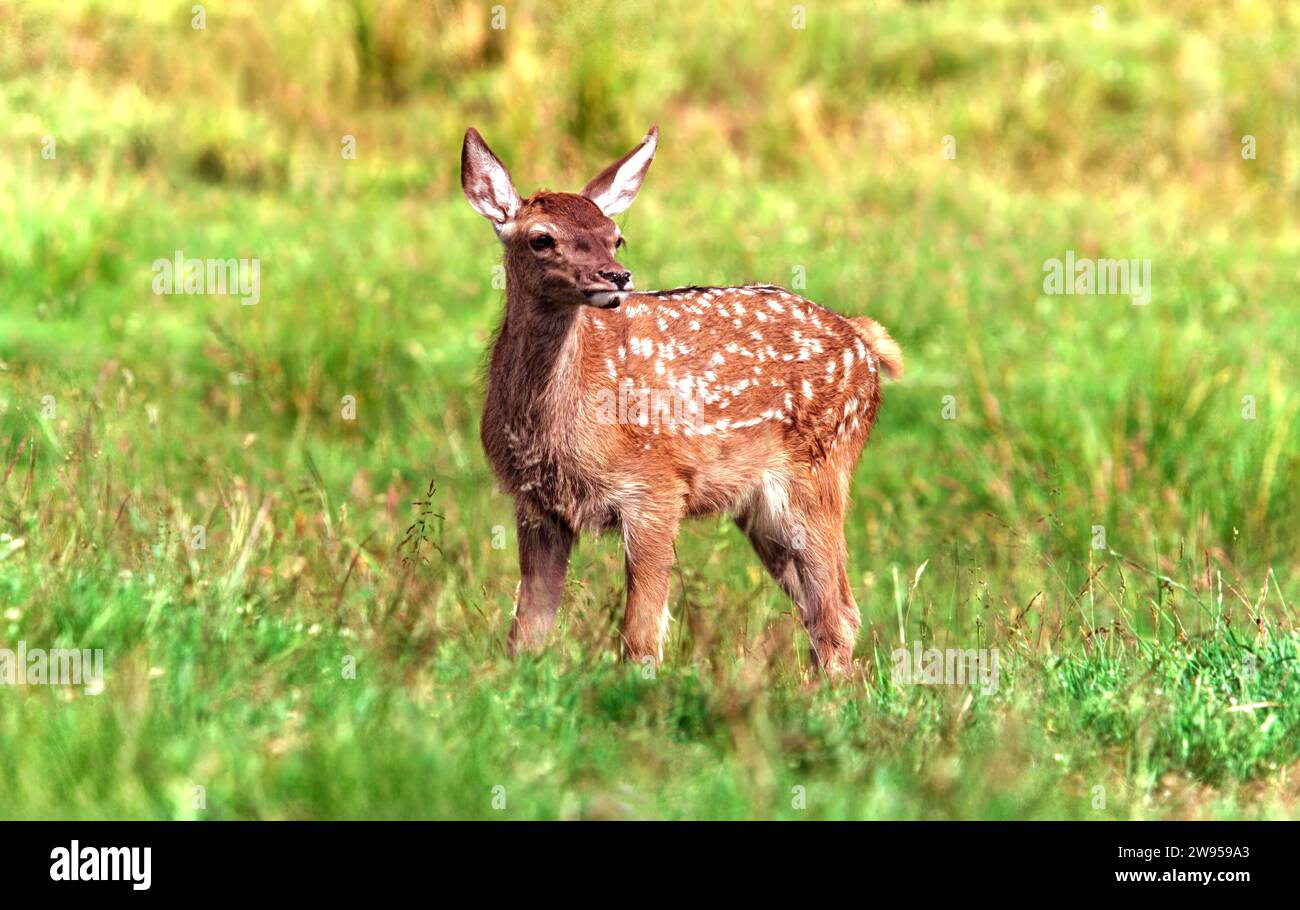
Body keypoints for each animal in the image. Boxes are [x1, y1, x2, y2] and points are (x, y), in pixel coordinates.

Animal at [461, 125, 902, 676]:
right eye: (541, 238)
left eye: (616, 235)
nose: (617, 276)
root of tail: (864, 339)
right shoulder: (537, 504)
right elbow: (527, 631)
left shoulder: (657, 486)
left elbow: (641, 634)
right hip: (762, 507)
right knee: (820, 608)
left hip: (820, 473)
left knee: (837, 612)